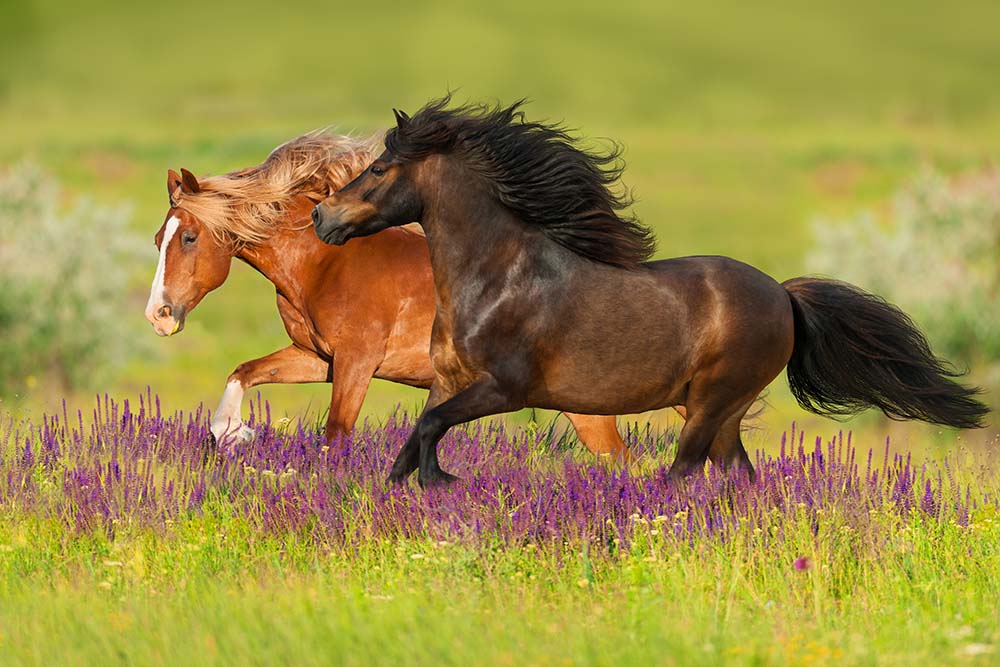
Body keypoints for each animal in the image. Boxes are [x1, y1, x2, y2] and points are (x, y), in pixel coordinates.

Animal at [143, 131, 624, 460]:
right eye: (157, 239)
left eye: (188, 237)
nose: (158, 316)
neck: (324, 263)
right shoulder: (318, 358)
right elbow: (244, 372)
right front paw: (231, 432)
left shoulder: (357, 361)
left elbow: (336, 434)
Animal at [316, 98, 988, 486]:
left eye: (380, 169)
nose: (324, 217)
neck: (496, 281)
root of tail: (783, 294)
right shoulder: (448, 381)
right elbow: (409, 445)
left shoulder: (504, 390)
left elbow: (428, 434)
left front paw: (444, 483)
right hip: (723, 411)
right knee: (740, 479)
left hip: (712, 401)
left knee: (683, 472)